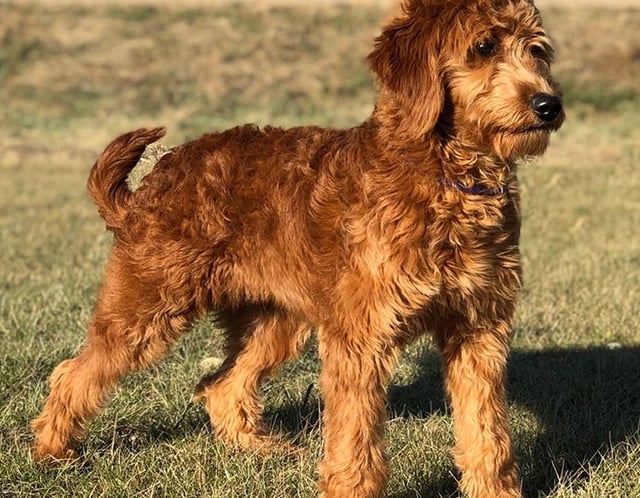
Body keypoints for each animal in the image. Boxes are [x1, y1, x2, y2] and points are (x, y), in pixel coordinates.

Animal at [32, 0, 564, 496]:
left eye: (536, 50)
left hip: (275, 322)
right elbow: (355, 442)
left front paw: (496, 490)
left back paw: (258, 448)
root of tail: (149, 185)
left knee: (220, 385)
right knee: (74, 373)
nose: (548, 105)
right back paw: (53, 450)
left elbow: (487, 433)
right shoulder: (361, 338)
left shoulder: (478, 329)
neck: (444, 178)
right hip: (146, 303)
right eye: (483, 47)